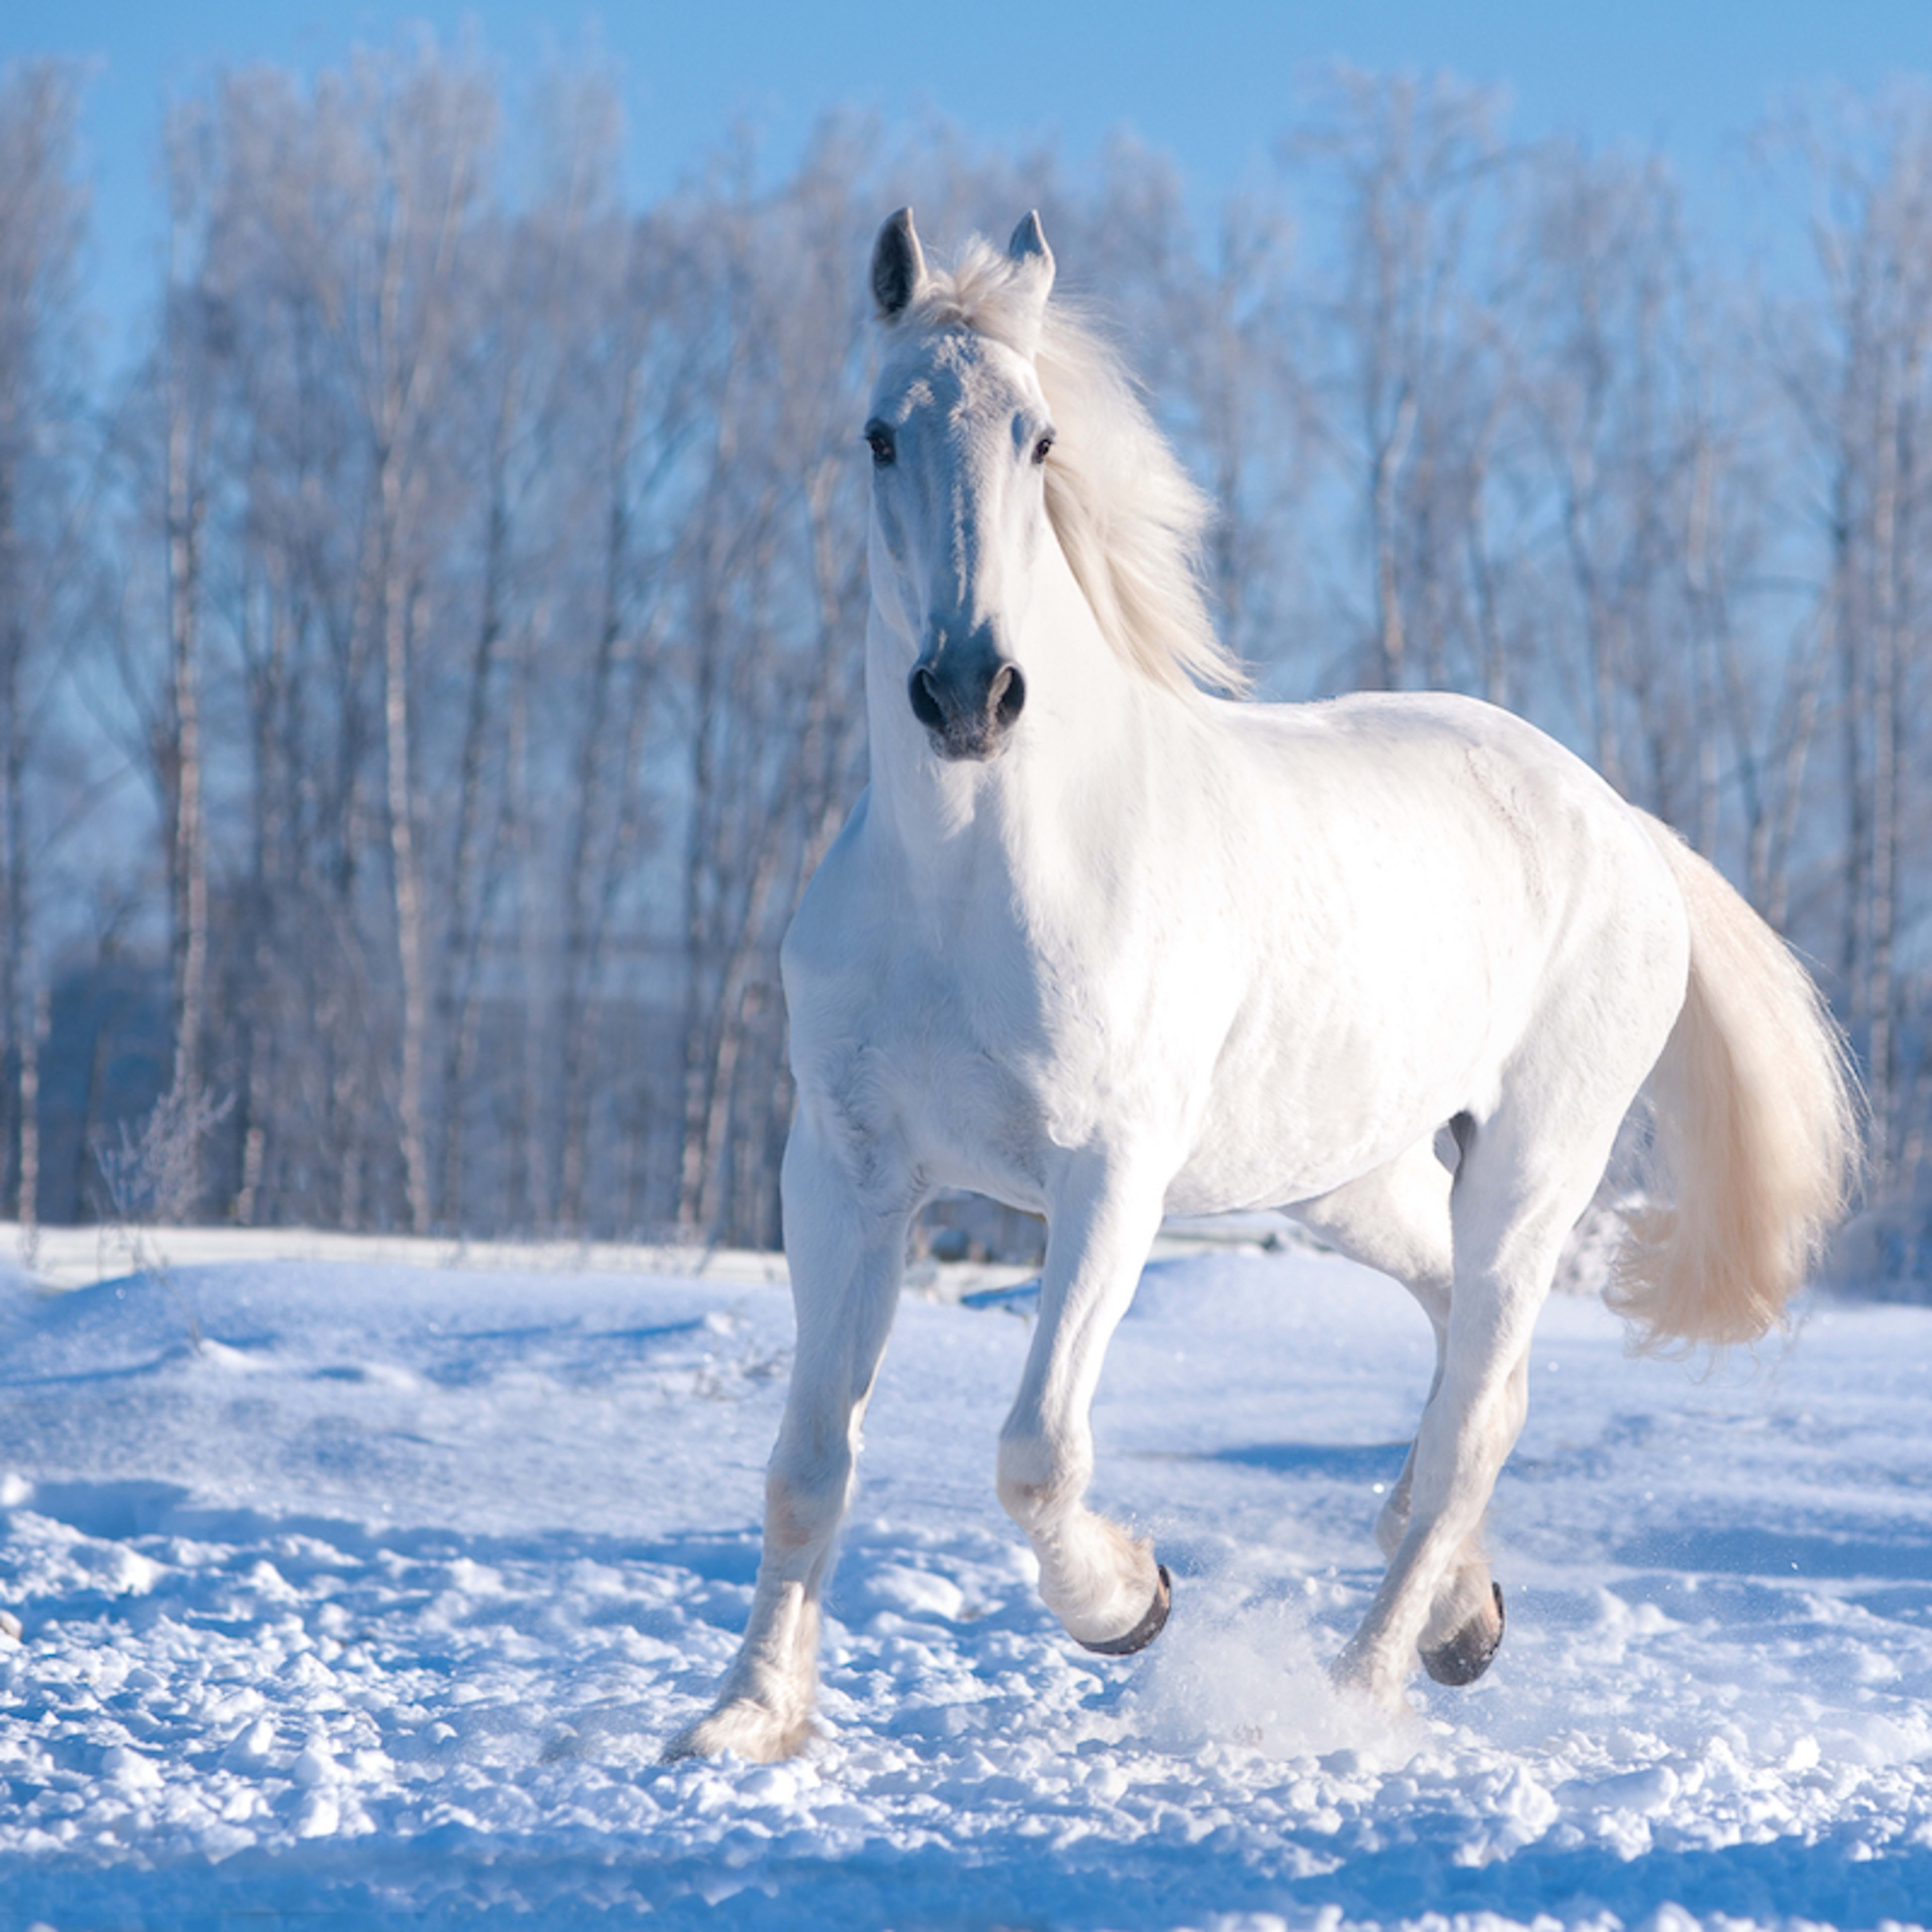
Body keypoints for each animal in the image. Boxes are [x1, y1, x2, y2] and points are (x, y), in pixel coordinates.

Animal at [666, 208, 1860, 1763]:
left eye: (1040, 438)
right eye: (878, 435)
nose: (969, 694)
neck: (969, 877)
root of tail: (1627, 828)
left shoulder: (1110, 1171)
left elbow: (1036, 1451)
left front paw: (1133, 1603)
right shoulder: (844, 1173)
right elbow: (809, 1460)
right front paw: (741, 1722)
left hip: (1533, 1164)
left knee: (1478, 1410)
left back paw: (1357, 1692)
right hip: (1348, 1174)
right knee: (1461, 1349)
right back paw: (1461, 1617)